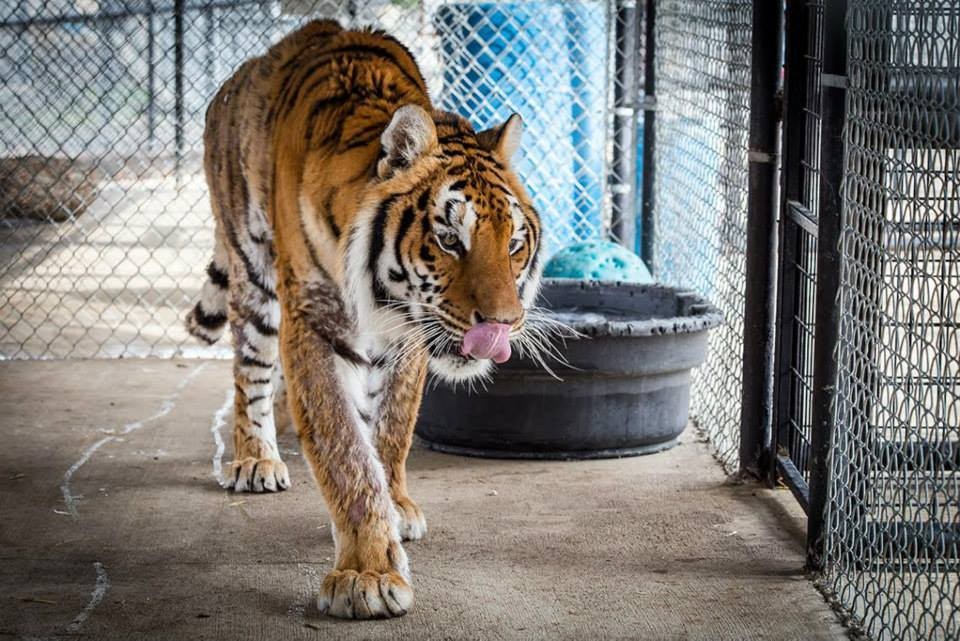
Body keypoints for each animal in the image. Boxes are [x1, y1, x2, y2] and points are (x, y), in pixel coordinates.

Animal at [185, 19, 544, 619]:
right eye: (450, 239)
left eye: (514, 243)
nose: (503, 324)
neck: (380, 298)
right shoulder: (311, 321)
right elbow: (344, 448)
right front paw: (367, 574)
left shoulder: (406, 339)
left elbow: (392, 430)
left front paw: (395, 507)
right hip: (254, 273)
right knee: (247, 371)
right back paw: (255, 459)